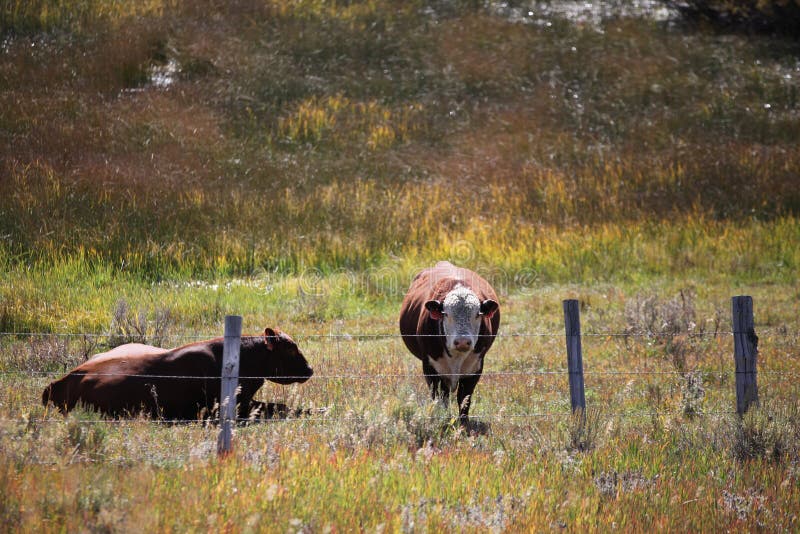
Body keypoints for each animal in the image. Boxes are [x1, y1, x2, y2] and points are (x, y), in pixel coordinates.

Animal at [399, 261, 500, 424]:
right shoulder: (431, 368)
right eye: (446, 314)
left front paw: (463, 424)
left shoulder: (475, 368)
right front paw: (444, 421)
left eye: (477, 314)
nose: (463, 341)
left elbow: (464, 399)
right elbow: (441, 399)